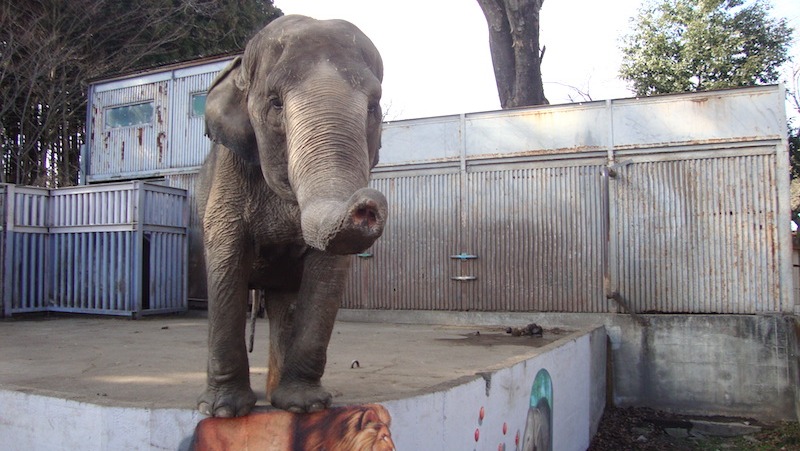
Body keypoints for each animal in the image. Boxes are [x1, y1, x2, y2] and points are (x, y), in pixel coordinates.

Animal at [195, 15, 387, 417]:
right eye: (274, 104)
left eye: (374, 107)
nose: (367, 205)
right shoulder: (229, 175)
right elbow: (225, 258)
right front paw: (224, 412)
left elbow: (328, 269)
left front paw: (306, 406)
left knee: (283, 305)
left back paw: (277, 399)